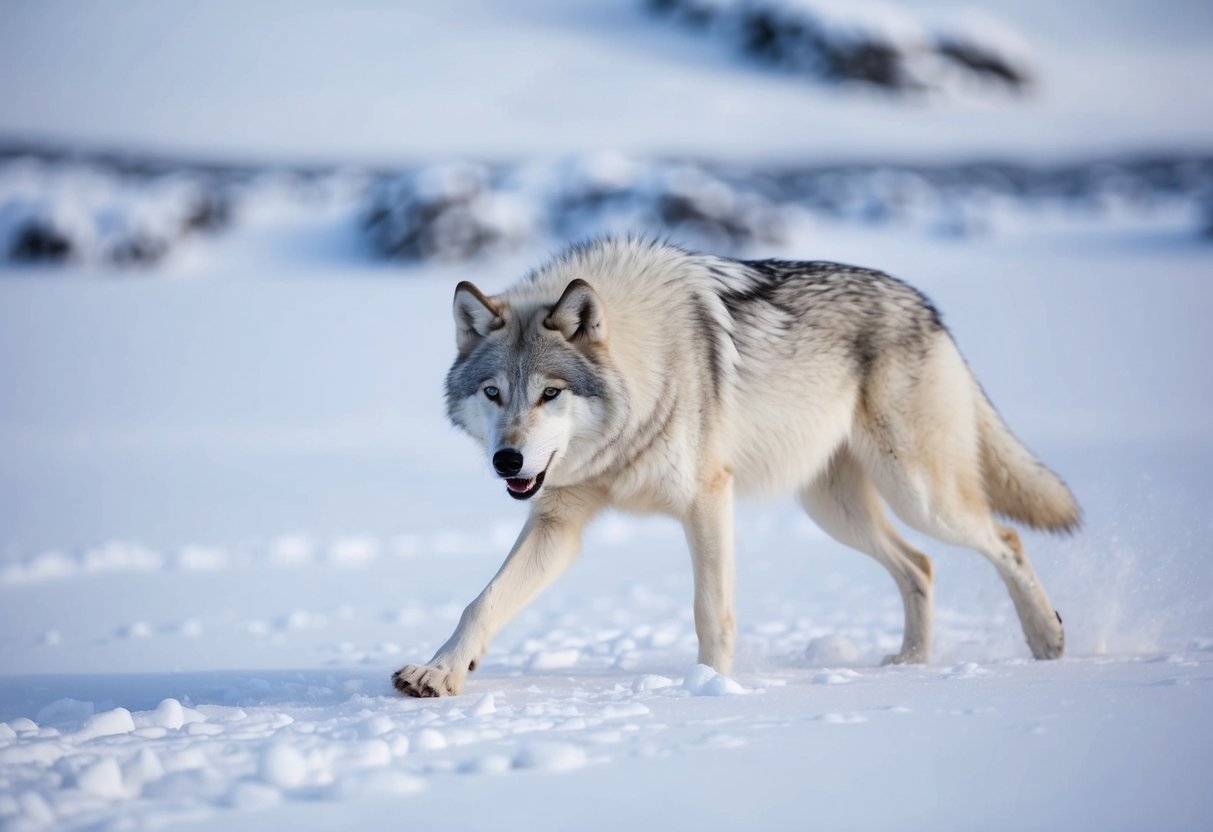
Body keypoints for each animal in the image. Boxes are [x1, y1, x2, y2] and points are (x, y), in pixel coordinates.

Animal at [392, 238, 1079, 697]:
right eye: (494, 394)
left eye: (550, 394)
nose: (507, 459)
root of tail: (928, 307)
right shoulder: (558, 523)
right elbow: (481, 602)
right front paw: (440, 671)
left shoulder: (707, 500)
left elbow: (711, 610)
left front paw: (713, 693)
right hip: (835, 510)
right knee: (921, 567)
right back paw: (911, 663)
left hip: (919, 492)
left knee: (1005, 538)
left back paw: (1047, 639)